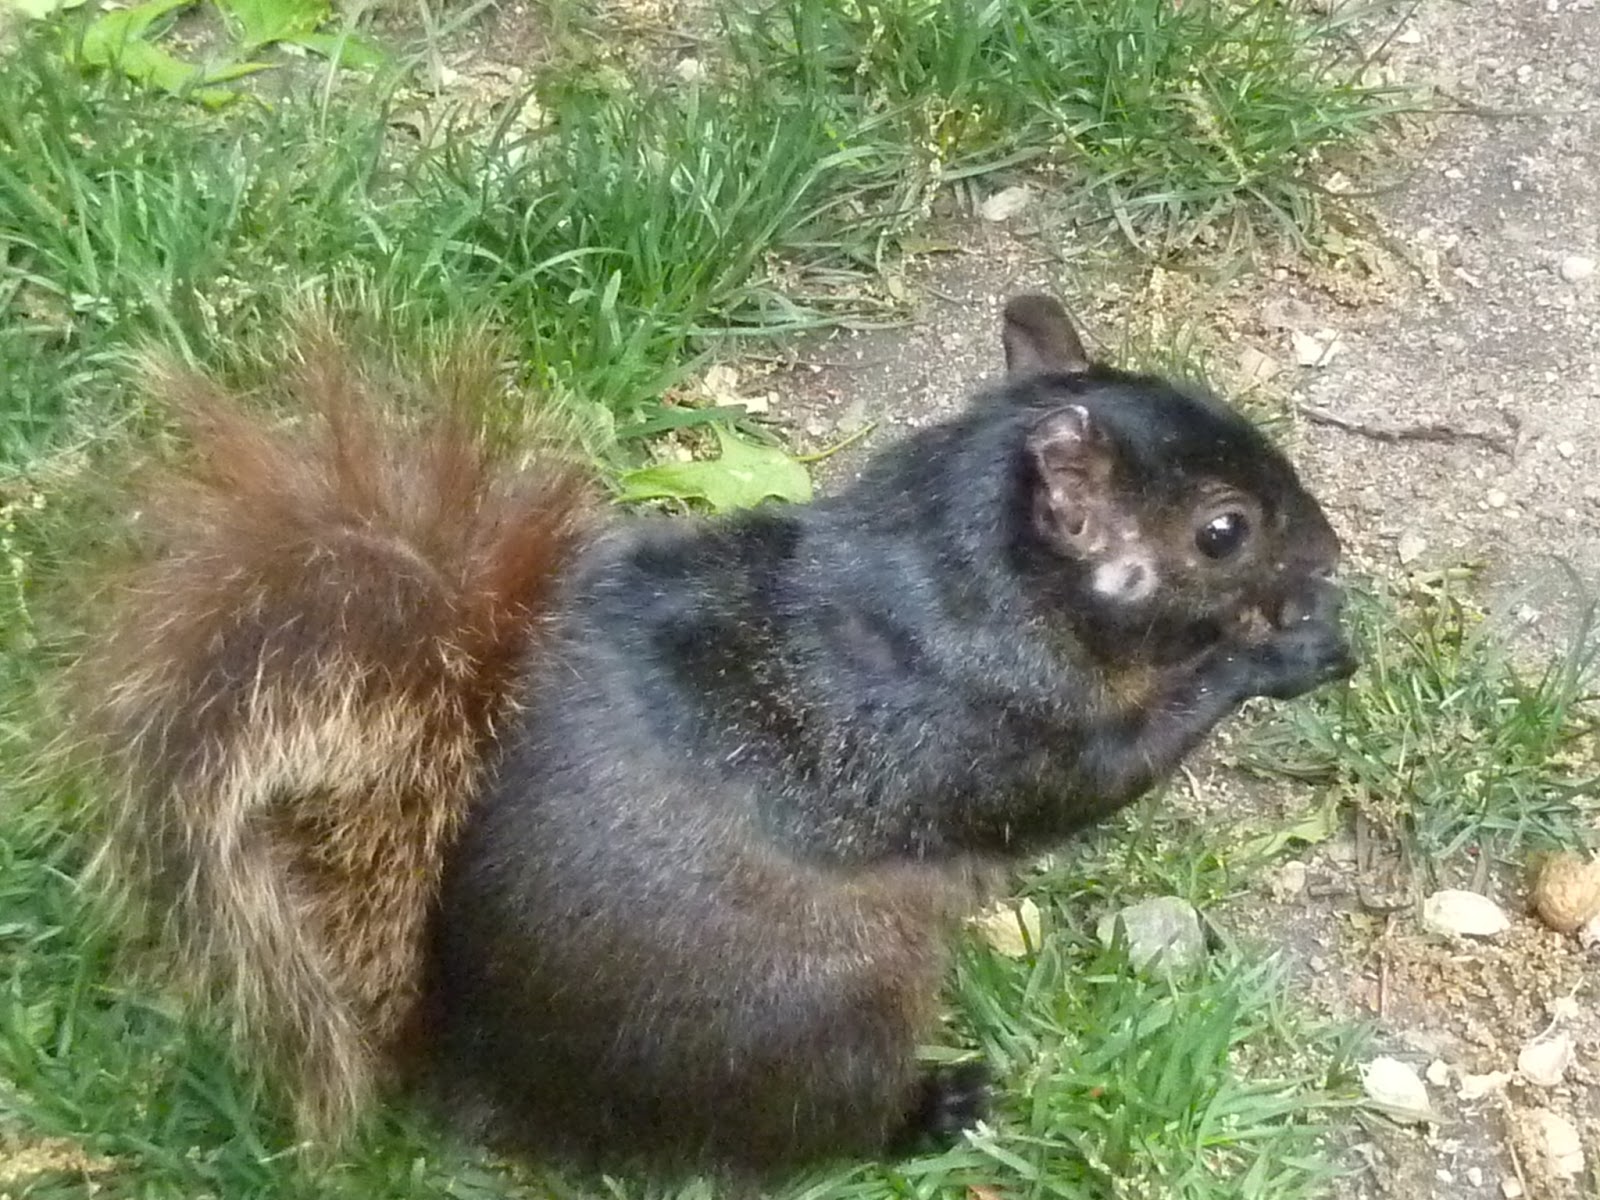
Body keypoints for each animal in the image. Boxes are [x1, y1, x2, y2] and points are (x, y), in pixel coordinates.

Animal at [76, 296, 1355, 1177]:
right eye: (1223, 531)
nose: (1330, 548)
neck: (962, 574)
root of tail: (479, 1072)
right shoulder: (982, 722)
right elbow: (1103, 774)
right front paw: (1277, 653)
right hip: (821, 1018)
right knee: (804, 1136)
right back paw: (931, 1111)